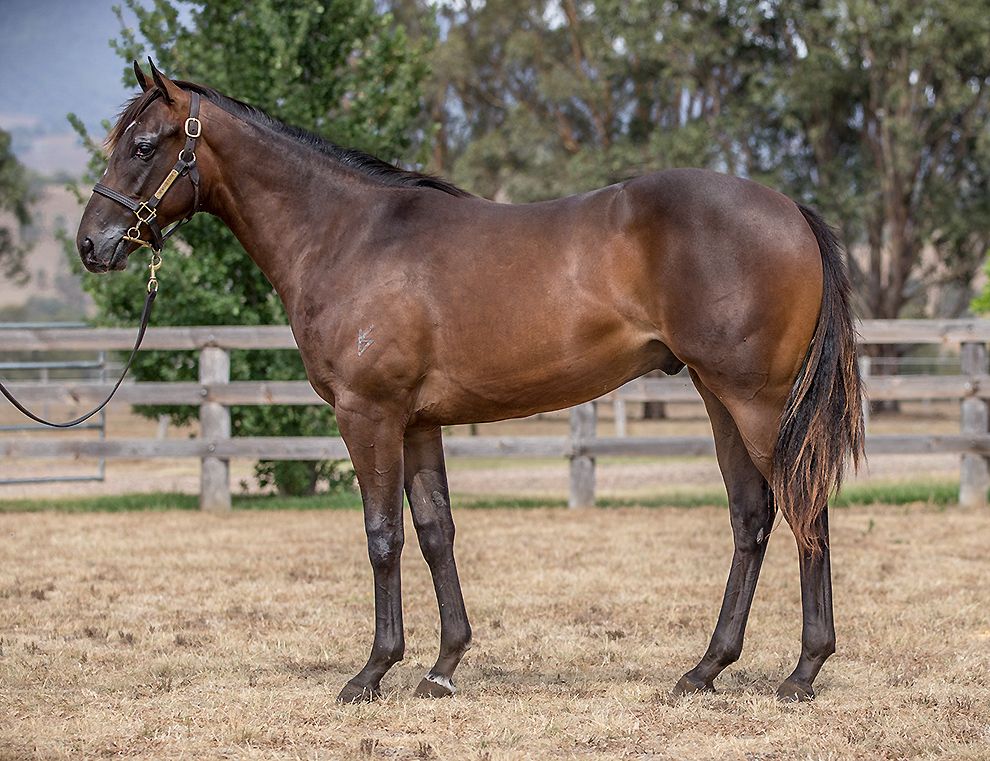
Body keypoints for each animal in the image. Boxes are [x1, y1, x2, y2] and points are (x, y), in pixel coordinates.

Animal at [75, 61, 864, 703]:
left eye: (144, 146)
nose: (91, 243)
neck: (349, 234)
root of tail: (790, 210)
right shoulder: (419, 423)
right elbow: (435, 532)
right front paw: (442, 666)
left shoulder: (369, 416)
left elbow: (383, 535)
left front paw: (372, 672)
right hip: (718, 397)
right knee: (752, 516)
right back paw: (705, 669)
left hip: (757, 402)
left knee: (805, 508)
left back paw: (803, 671)